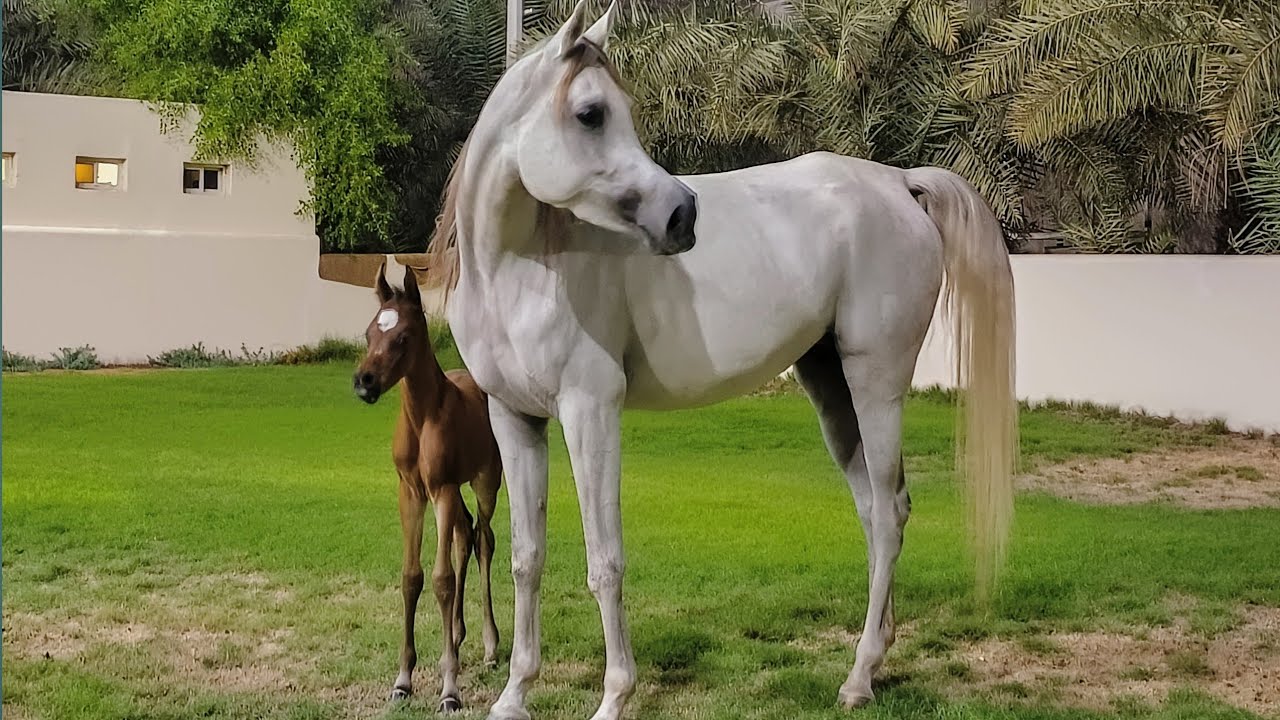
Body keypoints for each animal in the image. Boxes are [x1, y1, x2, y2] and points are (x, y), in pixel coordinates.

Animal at [352, 262, 504, 713]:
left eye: (403, 337)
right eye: (368, 334)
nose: (364, 381)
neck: (422, 420)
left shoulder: (442, 490)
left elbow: (441, 580)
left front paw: (450, 688)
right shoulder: (412, 493)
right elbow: (412, 577)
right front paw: (403, 680)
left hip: (486, 480)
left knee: (483, 538)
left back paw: (490, 646)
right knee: (464, 536)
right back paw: (456, 633)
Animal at [423, 2, 1019, 718]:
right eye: (591, 113)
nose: (682, 215)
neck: (524, 265)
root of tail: (901, 183)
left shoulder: (590, 412)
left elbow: (604, 560)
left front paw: (615, 696)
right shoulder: (514, 419)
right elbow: (525, 557)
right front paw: (514, 694)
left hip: (876, 386)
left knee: (889, 510)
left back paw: (857, 677)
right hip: (832, 390)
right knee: (875, 511)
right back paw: (877, 657)